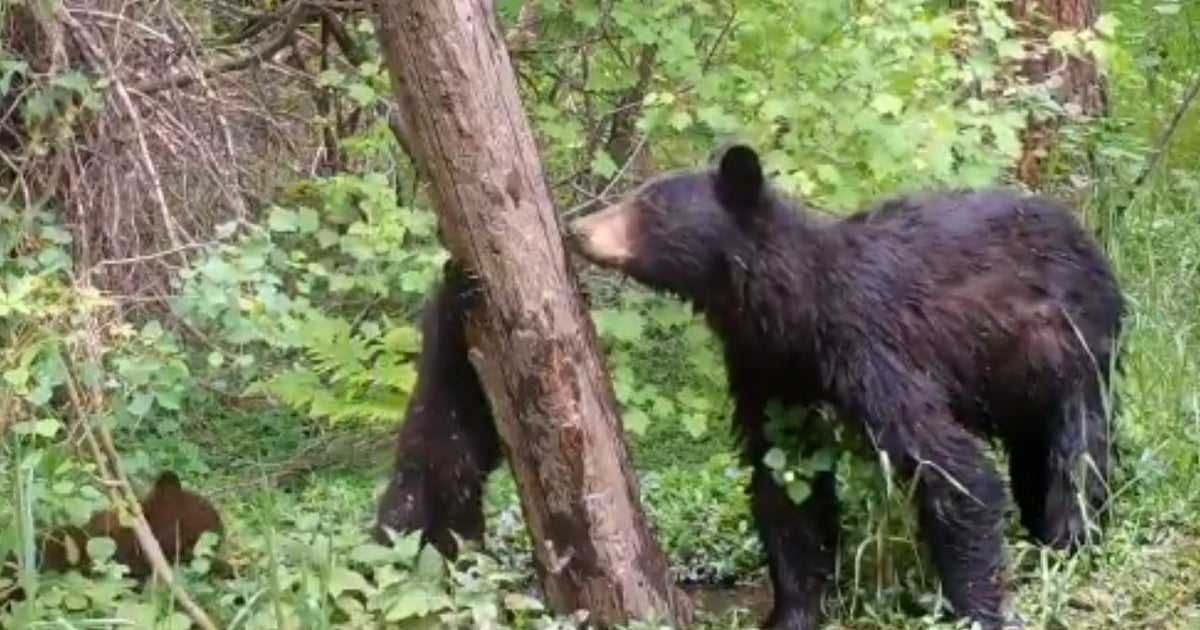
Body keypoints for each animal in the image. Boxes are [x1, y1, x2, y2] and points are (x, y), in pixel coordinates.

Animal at [565, 143, 1124, 630]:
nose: (576, 229)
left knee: (1078, 450)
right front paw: (791, 611)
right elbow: (784, 481)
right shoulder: (768, 370)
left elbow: (950, 466)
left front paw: (976, 607)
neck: (795, 312)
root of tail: (1086, 237)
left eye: (650, 205)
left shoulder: (872, 349)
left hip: (1072, 343)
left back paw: (1068, 541)